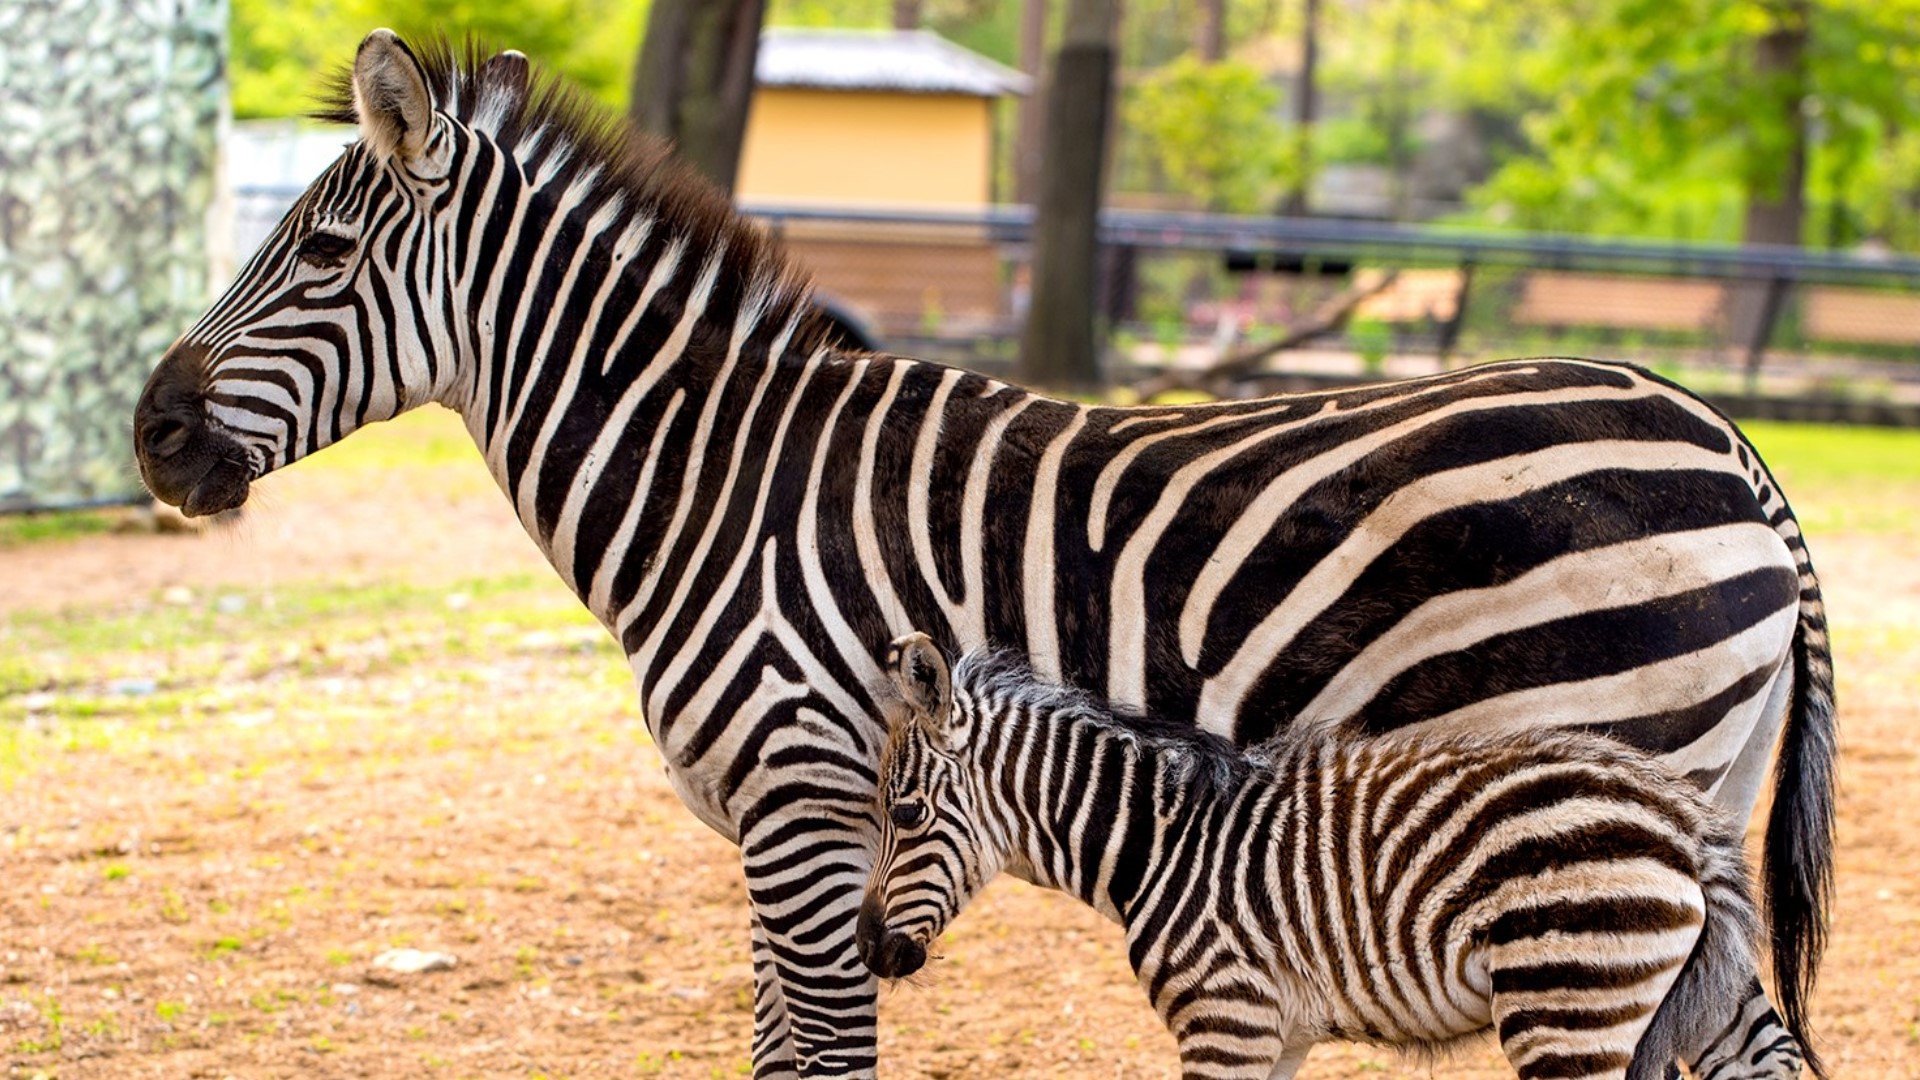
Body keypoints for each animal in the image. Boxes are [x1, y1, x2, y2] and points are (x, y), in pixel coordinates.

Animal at [861, 633, 1809, 1079]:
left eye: (903, 813)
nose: (869, 950)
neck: (1160, 846)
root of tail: (1681, 819)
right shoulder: (1277, 1032)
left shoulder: (1224, 1016)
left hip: (1567, 1004)